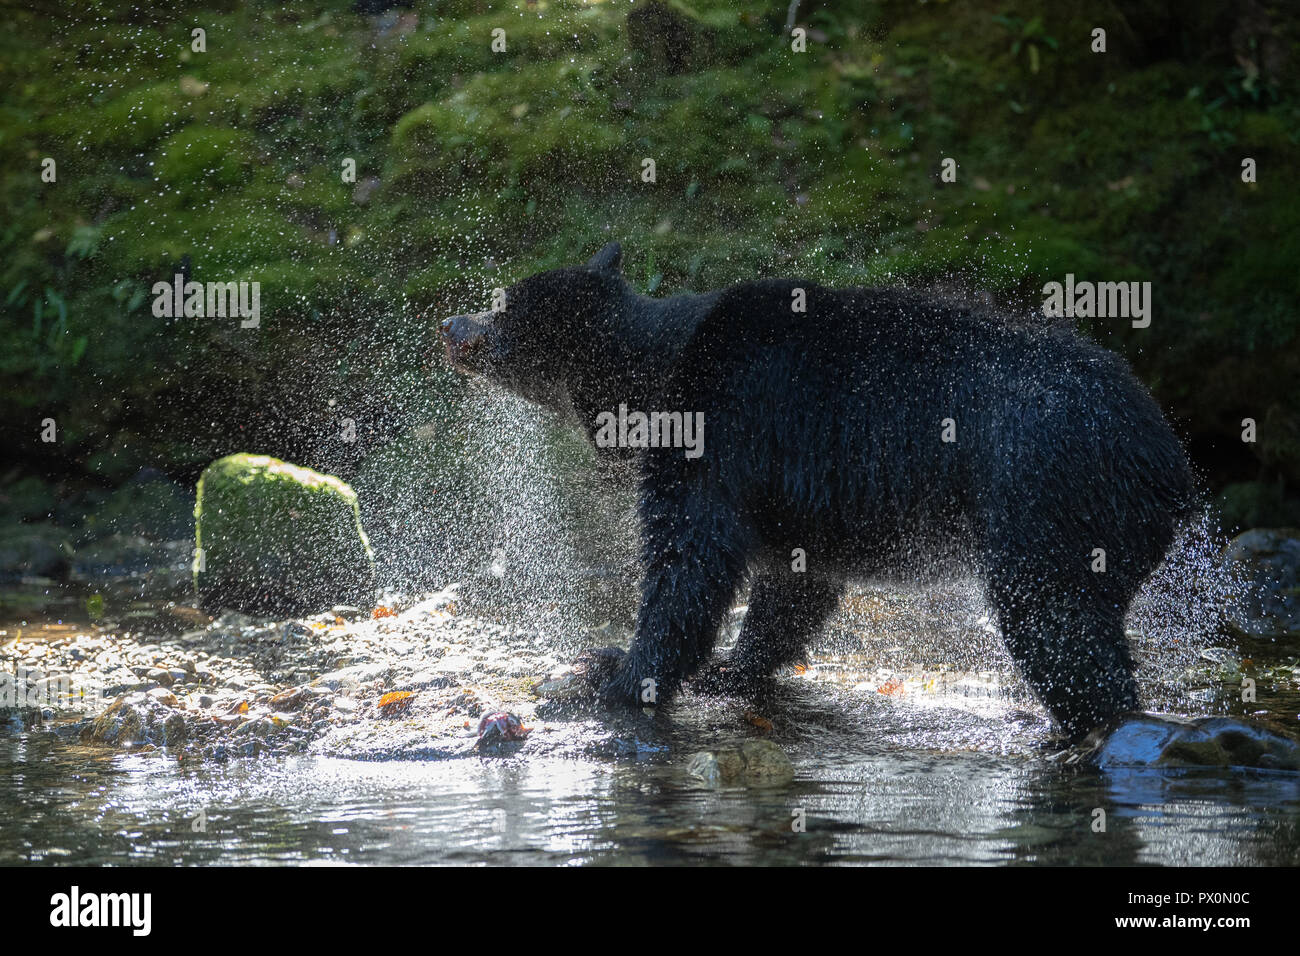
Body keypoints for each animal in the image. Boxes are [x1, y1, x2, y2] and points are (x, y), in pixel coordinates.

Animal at [440, 242, 1195, 740]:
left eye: (500, 306)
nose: (450, 323)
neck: (657, 375)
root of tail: (1168, 458)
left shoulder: (721, 428)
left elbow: (690, 561)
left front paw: (614, 672)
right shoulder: (790, 491)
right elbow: (792, 583)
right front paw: (731, 668)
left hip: (1046, 497)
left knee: (1055, 618)